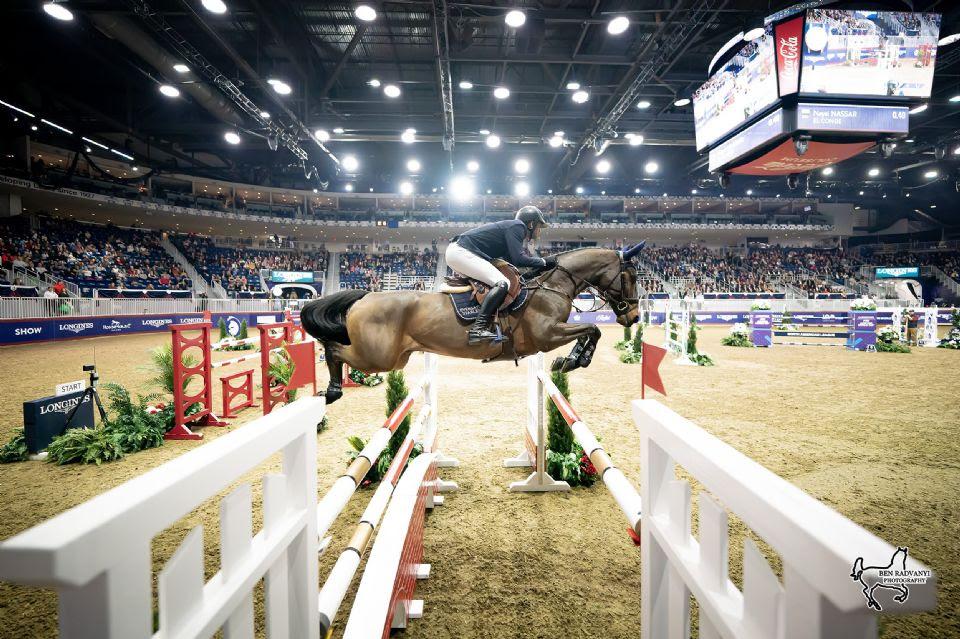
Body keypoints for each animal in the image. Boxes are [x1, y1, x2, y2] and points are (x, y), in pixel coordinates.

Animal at [301, 244, 645, 403]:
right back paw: (332, 390)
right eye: (631, 275)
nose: (633, 317)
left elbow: (591, 331)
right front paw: (573, 360)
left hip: (393, 358)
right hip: (378, 357)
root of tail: (365, 296)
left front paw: (572, 360)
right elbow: (592, 329)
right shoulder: (546, 336)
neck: (552, 285)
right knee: (333, 349)